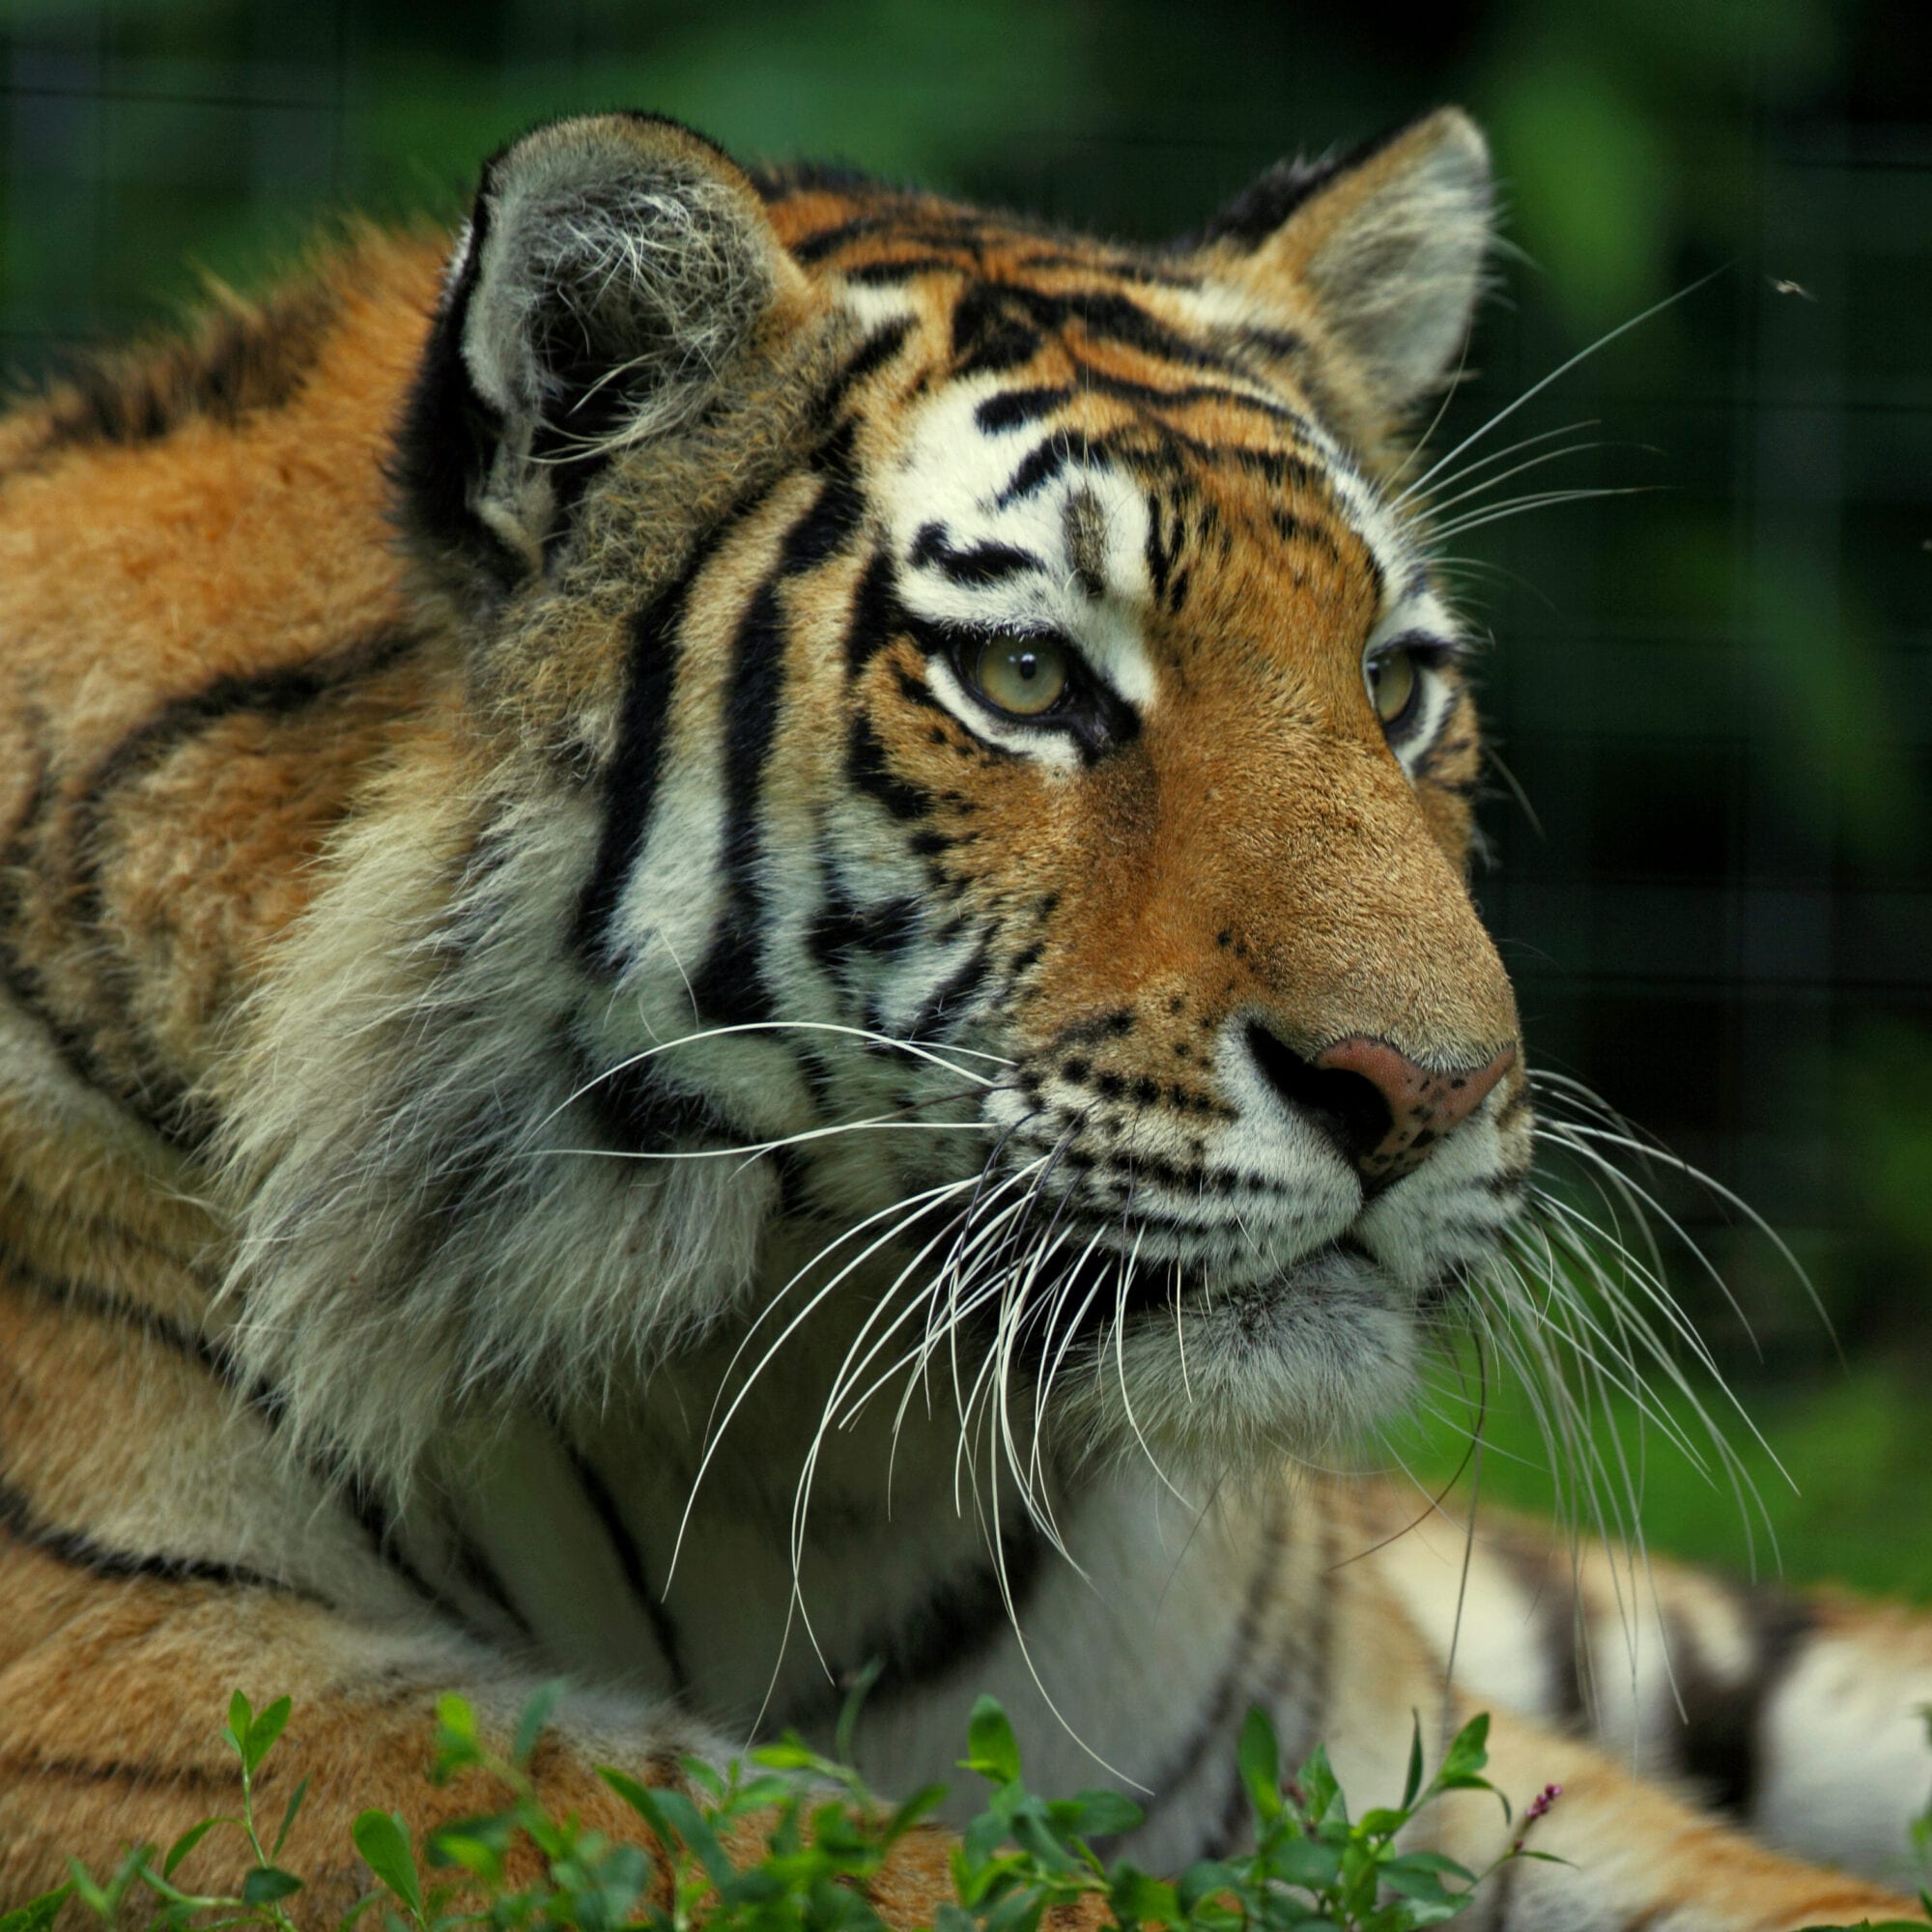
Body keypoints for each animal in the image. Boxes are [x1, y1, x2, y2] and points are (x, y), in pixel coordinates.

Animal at [2, 104, 1929, 1929]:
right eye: (1025, 678)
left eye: (1393, 686)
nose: (1425, 1092)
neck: (743, 1425)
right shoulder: (149, 1703)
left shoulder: (1379, 1750)